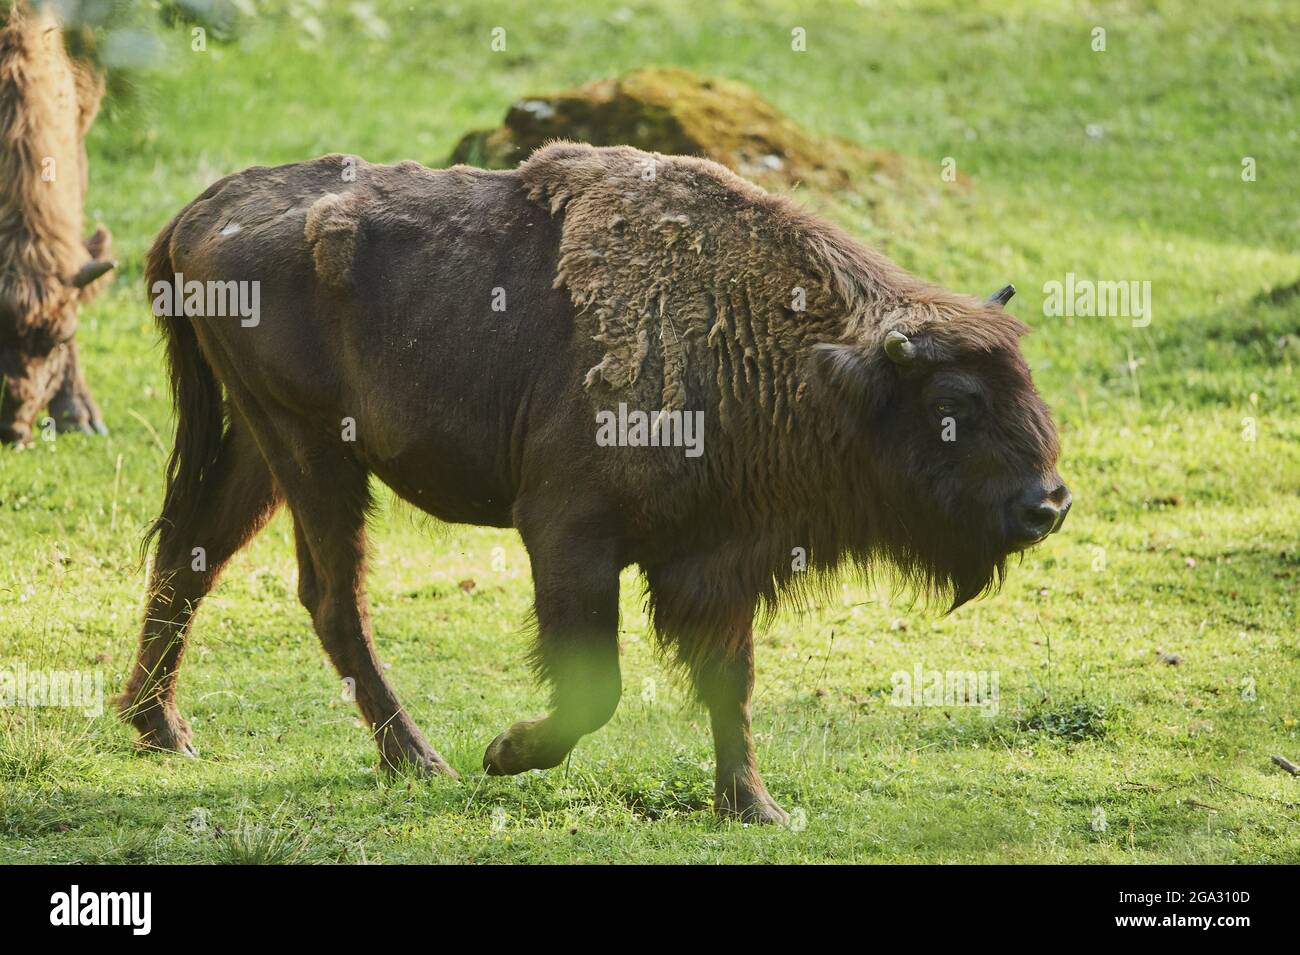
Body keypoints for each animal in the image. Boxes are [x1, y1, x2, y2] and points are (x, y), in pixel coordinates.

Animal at [120, 142, 1069, 823]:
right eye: (951, 402)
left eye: (1026, 382)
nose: (1048, 503)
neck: (785, 353)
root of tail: (197, 213)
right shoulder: (569, 535)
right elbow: (597, 686)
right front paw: (504, 752)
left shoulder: (715, 562)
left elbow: (731, 681)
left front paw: (754, 807)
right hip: (310, 449)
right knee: (328, 593)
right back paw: (419, 760)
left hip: (262, 449)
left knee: (192, 555)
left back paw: (159, 729)